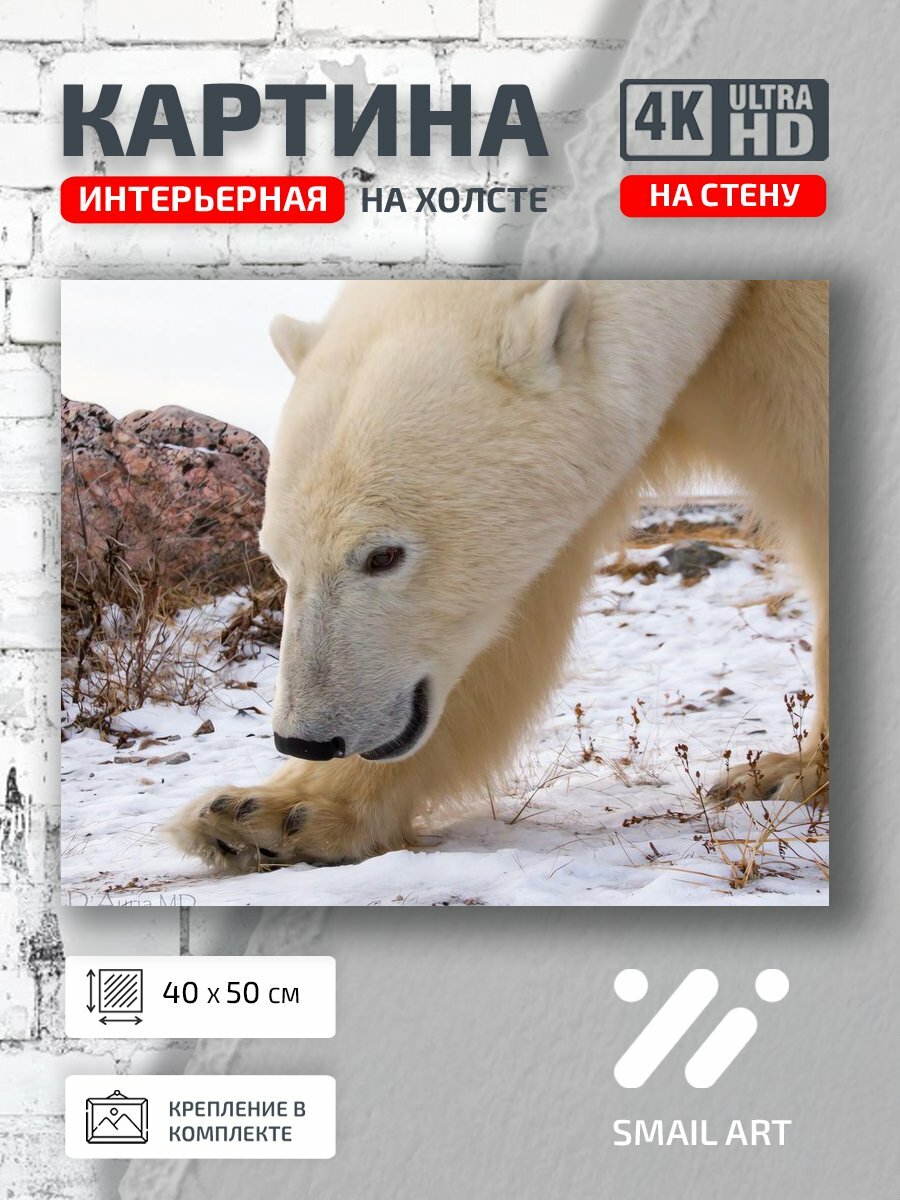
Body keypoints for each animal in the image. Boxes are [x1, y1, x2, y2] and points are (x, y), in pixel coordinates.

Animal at [167, 279, 828, 874]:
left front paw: (793, 773)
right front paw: (268, 814)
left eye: (384, 555)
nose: (306, 740)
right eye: (278, 559)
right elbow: (506, 622)